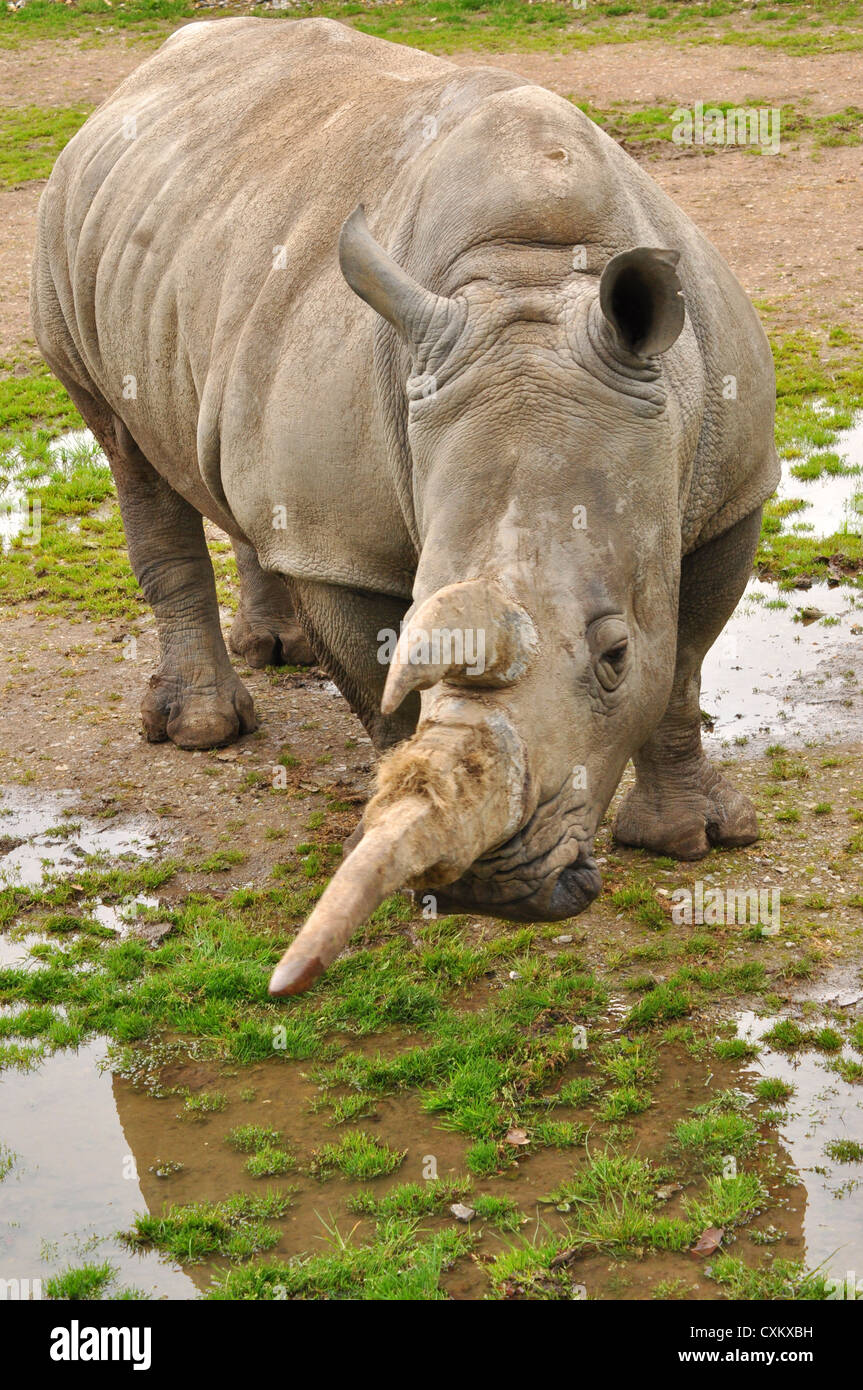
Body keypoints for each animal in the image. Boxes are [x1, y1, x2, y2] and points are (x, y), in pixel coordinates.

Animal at [31, 17, 779, 996]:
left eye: (614, 656)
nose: (491, 887)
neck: (530, 284)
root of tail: (147, 71)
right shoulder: (343, 544)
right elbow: (377, 692)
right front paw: (390, 833)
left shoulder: (731, 487)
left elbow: (683, 663)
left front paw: (694, 842)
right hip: (65, 255)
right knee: (129, 450)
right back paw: (202, 733)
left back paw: (274, 649)